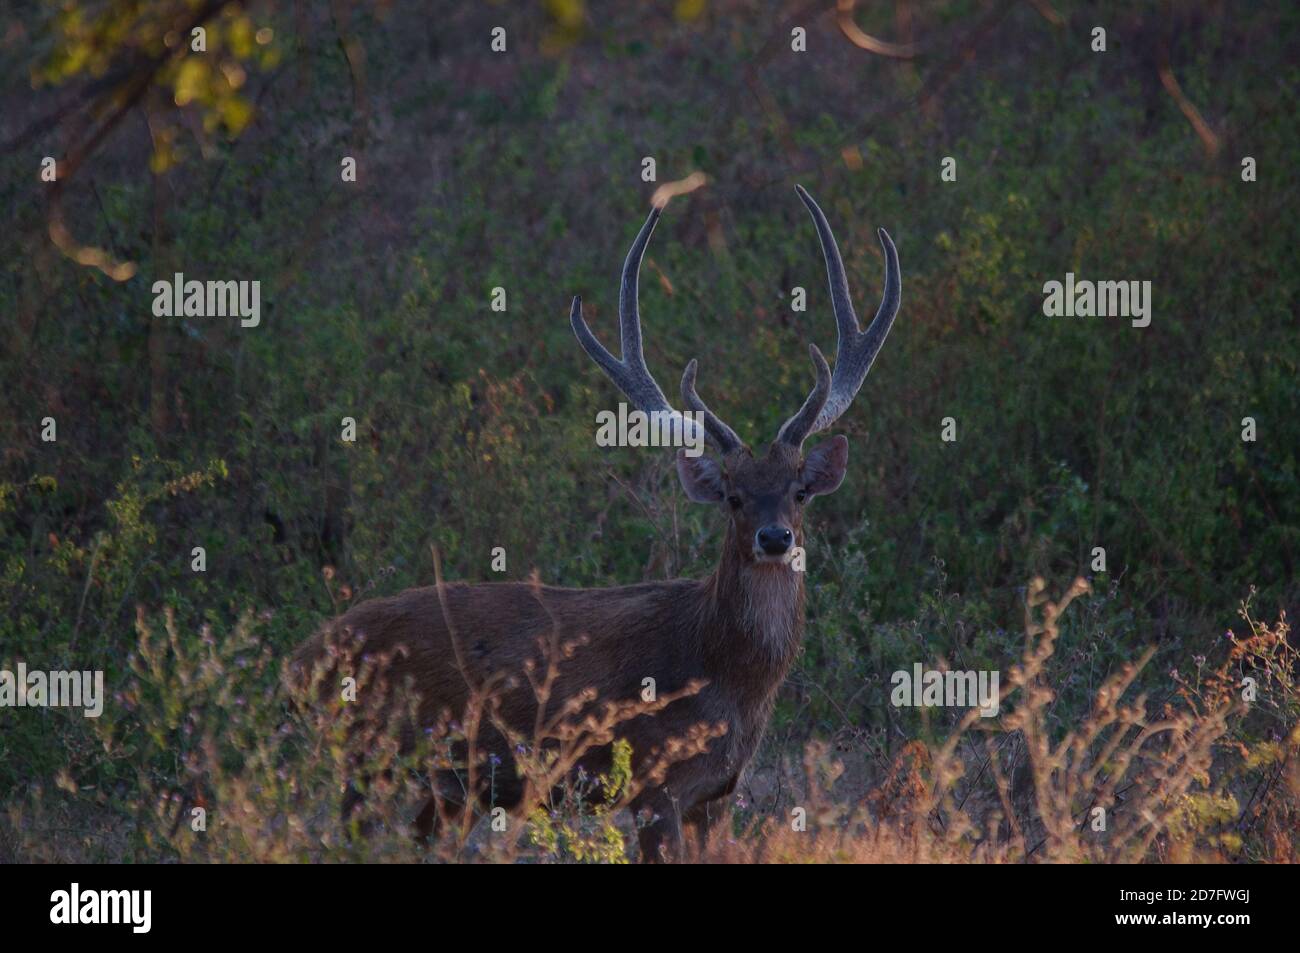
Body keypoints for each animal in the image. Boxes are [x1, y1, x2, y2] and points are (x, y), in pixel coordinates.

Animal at [289, 186, 902, 861]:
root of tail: (302, 659)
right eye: (735, 497)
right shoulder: (656, 782)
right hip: (374, 759)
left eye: (799, 492)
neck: (727, 677)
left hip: (445, 788)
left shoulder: (718, 794)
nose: (774, 537)